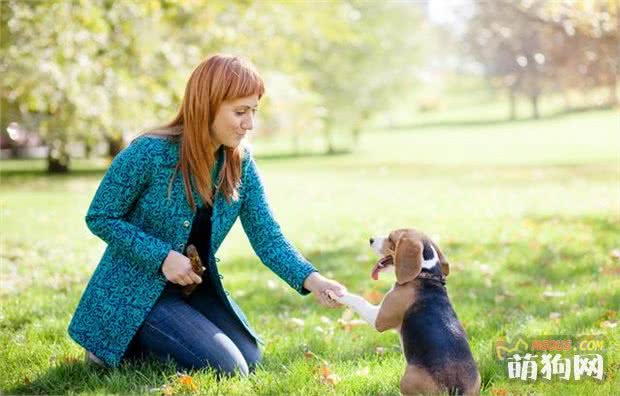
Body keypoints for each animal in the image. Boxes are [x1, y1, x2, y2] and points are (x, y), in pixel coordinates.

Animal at [330, 229, 480, 396]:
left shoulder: (379, 319)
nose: (371, 239)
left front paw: (338, 293)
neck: (424, 274)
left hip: (407, 378)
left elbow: (358, 300)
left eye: (390, 238)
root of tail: (455, 389)